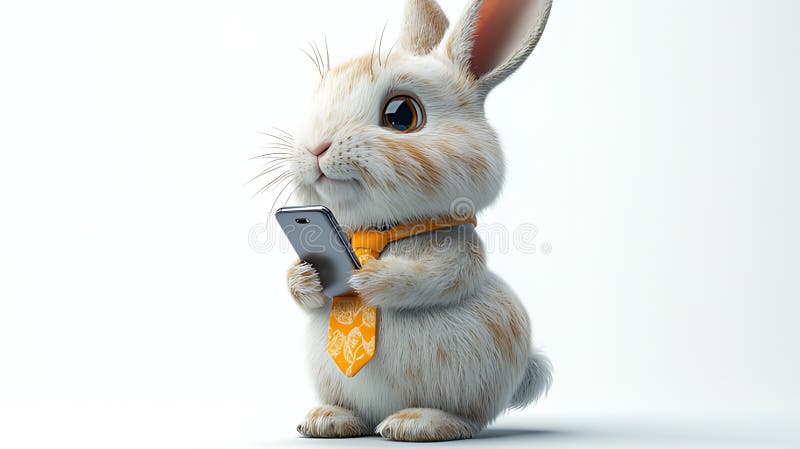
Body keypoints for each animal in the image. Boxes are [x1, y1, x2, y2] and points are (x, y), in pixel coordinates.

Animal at [277, 0, 554, 442]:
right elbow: (304, 292)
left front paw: (368, 280)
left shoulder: (458, 249)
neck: (381, 230)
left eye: (401, 114)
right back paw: (329, 419)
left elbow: (436, 275)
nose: (314, 147)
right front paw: (305, 278)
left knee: (467, 420)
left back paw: (416, 422)